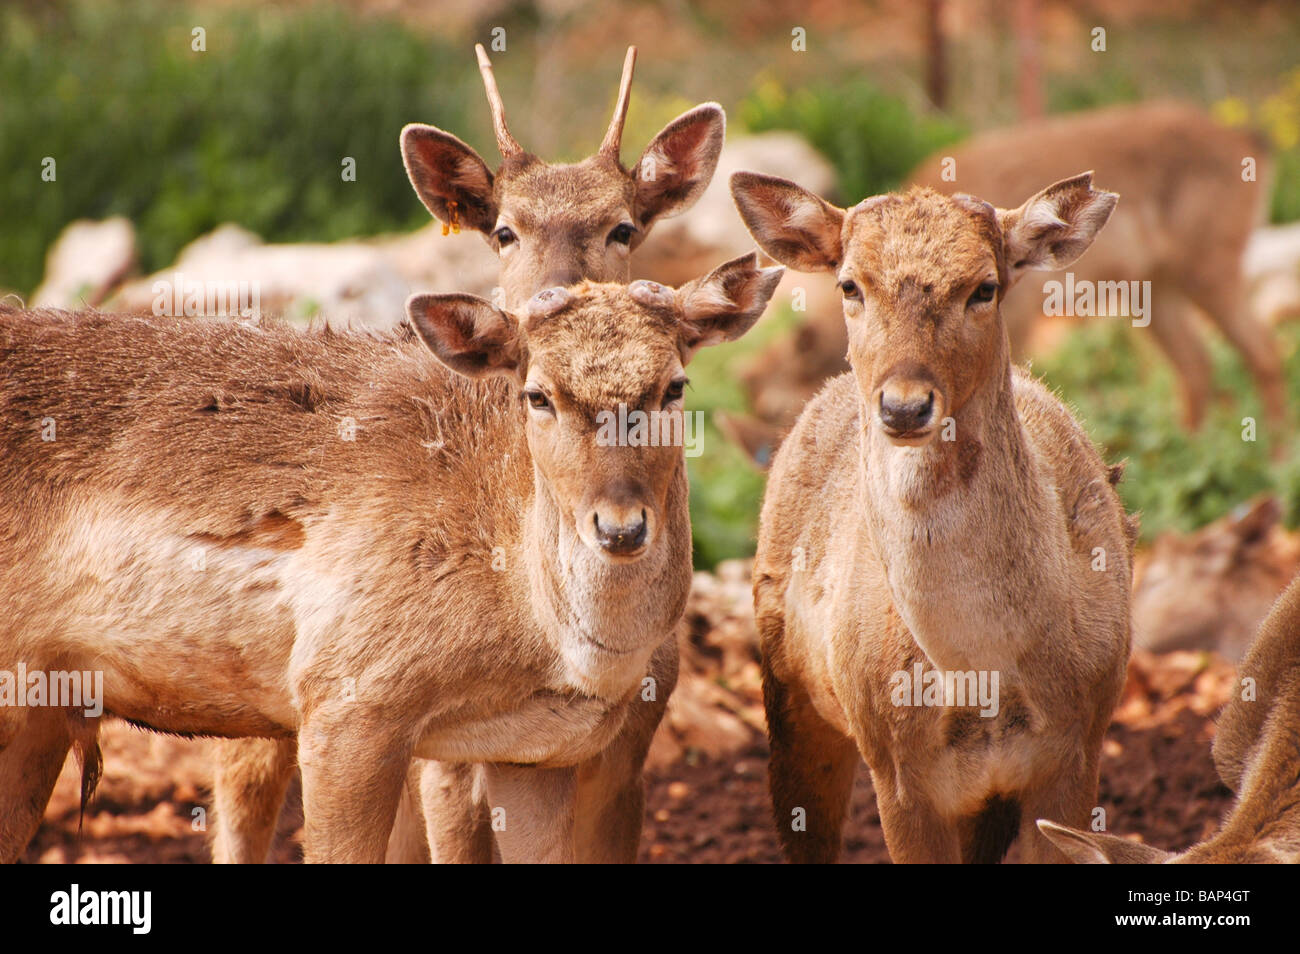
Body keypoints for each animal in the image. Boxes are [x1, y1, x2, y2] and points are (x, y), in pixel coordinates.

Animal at [729, 168, 1137, 863]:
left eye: (984, 288)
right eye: (850, 285)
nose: (904, 405)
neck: (982, 676)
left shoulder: (1080, 747)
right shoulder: (899, 773)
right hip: (789, 693)